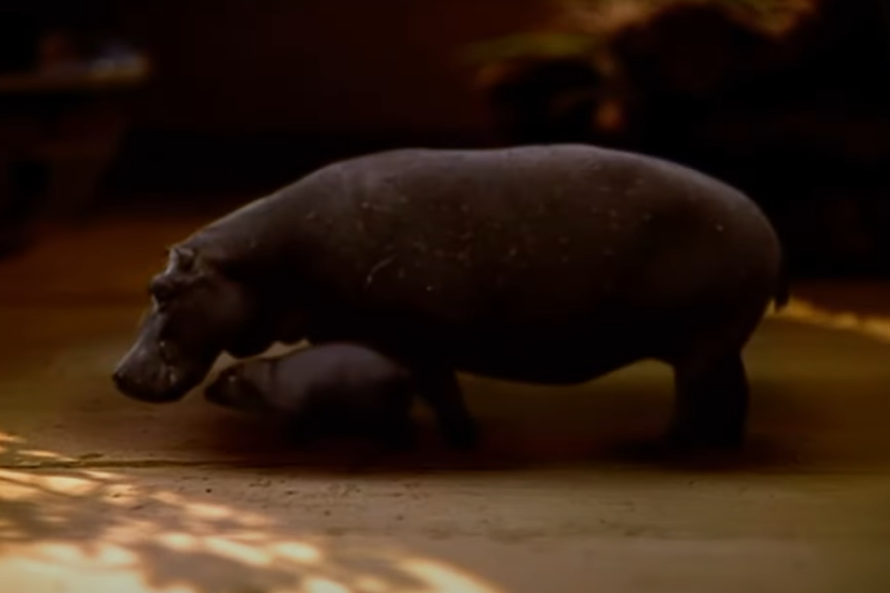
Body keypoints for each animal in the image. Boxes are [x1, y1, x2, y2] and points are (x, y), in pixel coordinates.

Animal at [204, 343, 416, 449]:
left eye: (228, 377)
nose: (206, 391)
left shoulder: (295, 415)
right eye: (222, 373)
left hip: (388, 413)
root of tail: (403, 372)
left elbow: (296, 431)